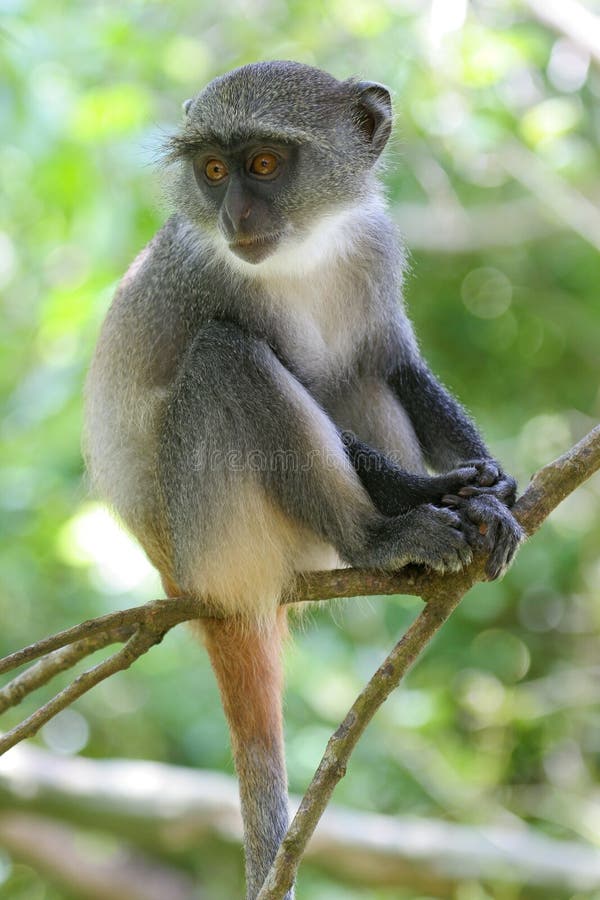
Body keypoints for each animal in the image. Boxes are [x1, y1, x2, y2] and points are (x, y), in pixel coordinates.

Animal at [83, 61, 523, 899]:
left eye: (262, 164)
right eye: (211, 170)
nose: (235, 215)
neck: (304, 252)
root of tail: (186, 585)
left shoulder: (375, 249)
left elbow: (393, 363)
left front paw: (494, 490)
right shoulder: (205, 277)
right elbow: (278, 369)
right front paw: (428, 498)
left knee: (357, 372)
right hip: (216, 527)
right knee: (225, 356)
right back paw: (380, 537)